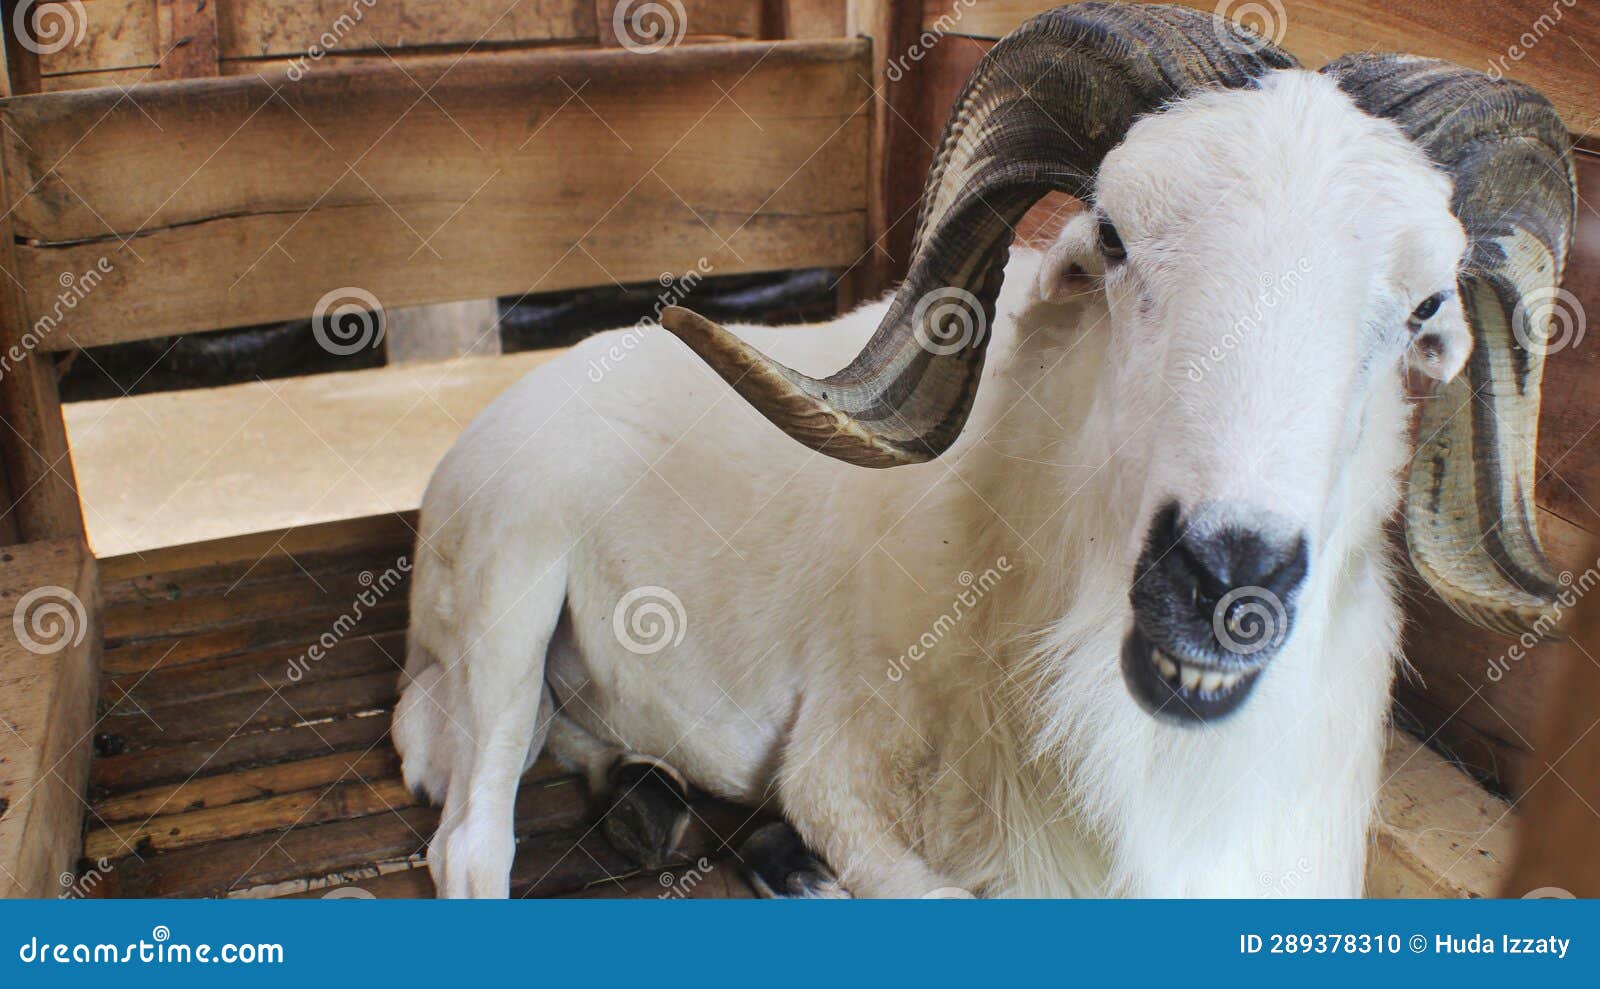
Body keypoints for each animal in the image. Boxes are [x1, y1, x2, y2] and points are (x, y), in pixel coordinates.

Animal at [394, 4, 1575, 897]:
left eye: (1423, 309)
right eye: (1113, 241)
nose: (1227, 581)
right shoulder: (841, 776)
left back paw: (667, 812)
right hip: (507, 595)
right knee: (469, 837)